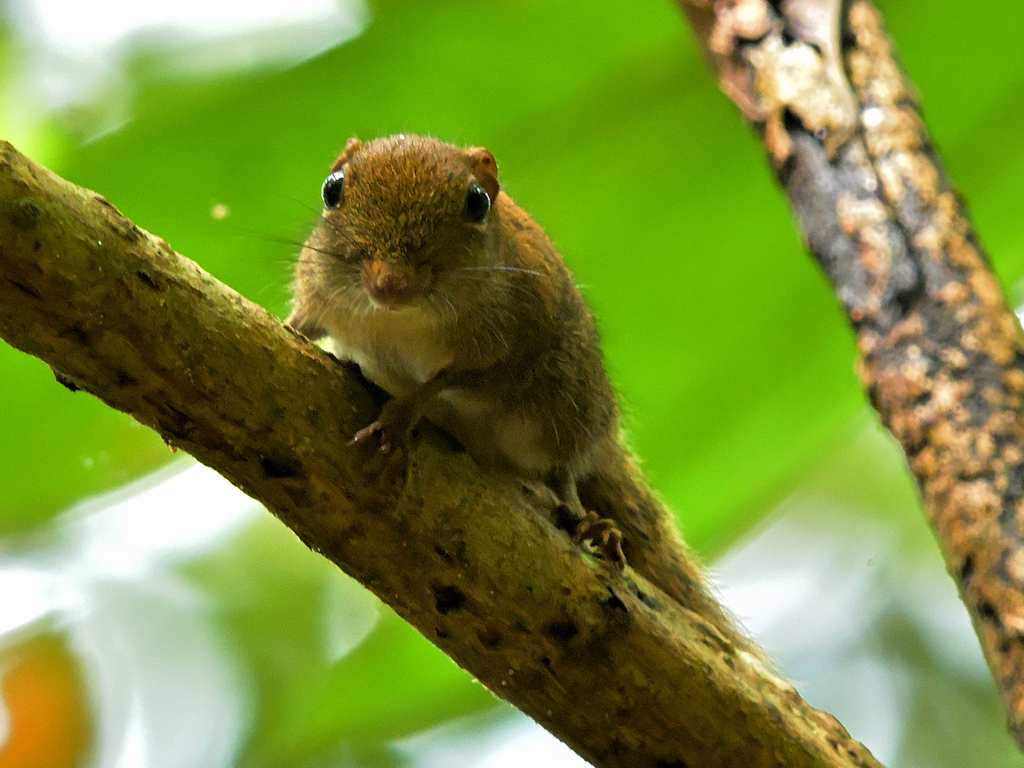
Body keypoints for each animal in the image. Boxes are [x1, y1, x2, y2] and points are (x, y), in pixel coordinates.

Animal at [287, 135, 743, 638]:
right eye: (332, 189)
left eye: (477, 202)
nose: (391, 283)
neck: (400, 320)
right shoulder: (319, 292)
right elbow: (304, 322)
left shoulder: (508, 341)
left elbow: (445, 381)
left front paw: (400, 418)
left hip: (566, 405)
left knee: (563, 472)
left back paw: (593, 524)